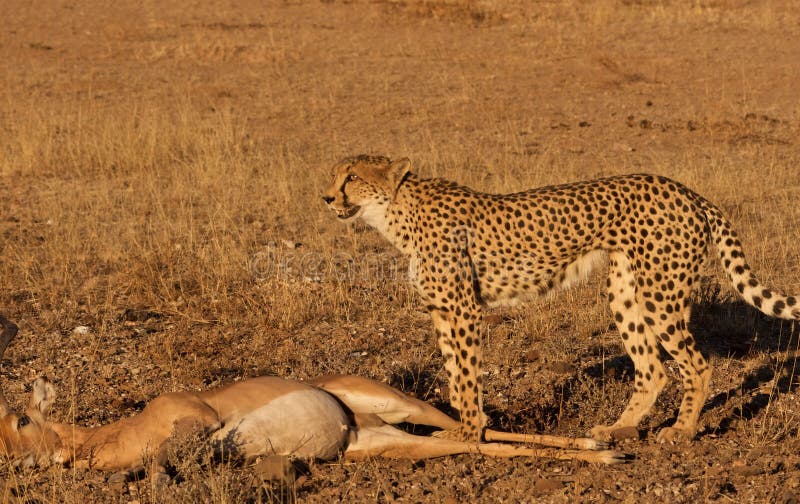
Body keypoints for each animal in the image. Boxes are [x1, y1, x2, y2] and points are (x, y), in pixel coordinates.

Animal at [0, 315, 624, 485]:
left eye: (21, 417)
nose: (19, 463)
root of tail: (360, 422)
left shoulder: (200, 416)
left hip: (399, 405)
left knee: (477, 426)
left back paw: (607, 447)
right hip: (382, 442)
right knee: (466, 440)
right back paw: (603, 449)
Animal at [322, 154, 800, 443]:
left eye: (353, 177)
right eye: (334, 175)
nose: (326, 197)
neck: (396, 214)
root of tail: (685, 190)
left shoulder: (464, 311)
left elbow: (467, 375)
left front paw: (470, 433)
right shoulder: (441, 312)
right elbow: (454, 373)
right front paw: (461, 425)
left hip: (660, 293)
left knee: (696, 365)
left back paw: (680, 432)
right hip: (624, 292)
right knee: (652, 368)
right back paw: (617, 430)